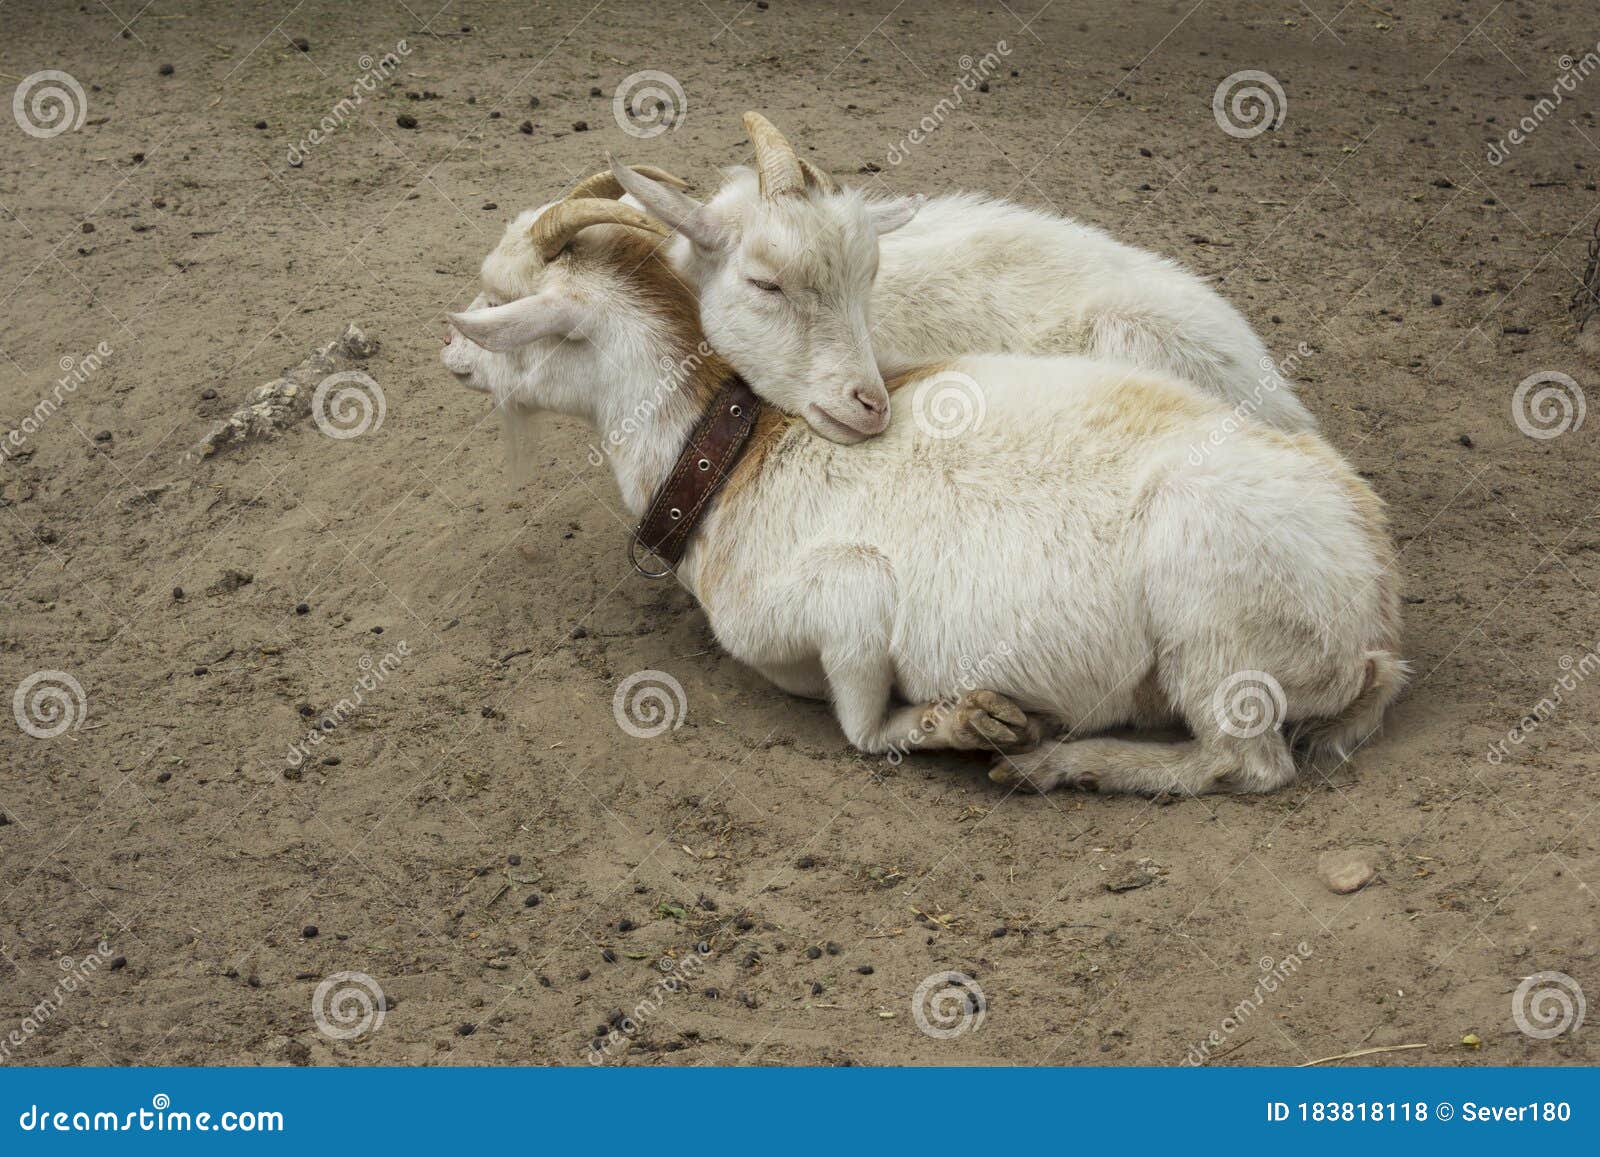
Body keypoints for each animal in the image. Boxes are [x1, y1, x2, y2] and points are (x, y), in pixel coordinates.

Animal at [442, 192, 1405, 796]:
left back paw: (1062, 764)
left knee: (1246, 764)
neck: (729, 461)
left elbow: (864, 724)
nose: (449, 353)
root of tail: (1376, 622)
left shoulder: (839, 598)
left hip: (1211, 630)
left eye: (499, 305)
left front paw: (978, 724)